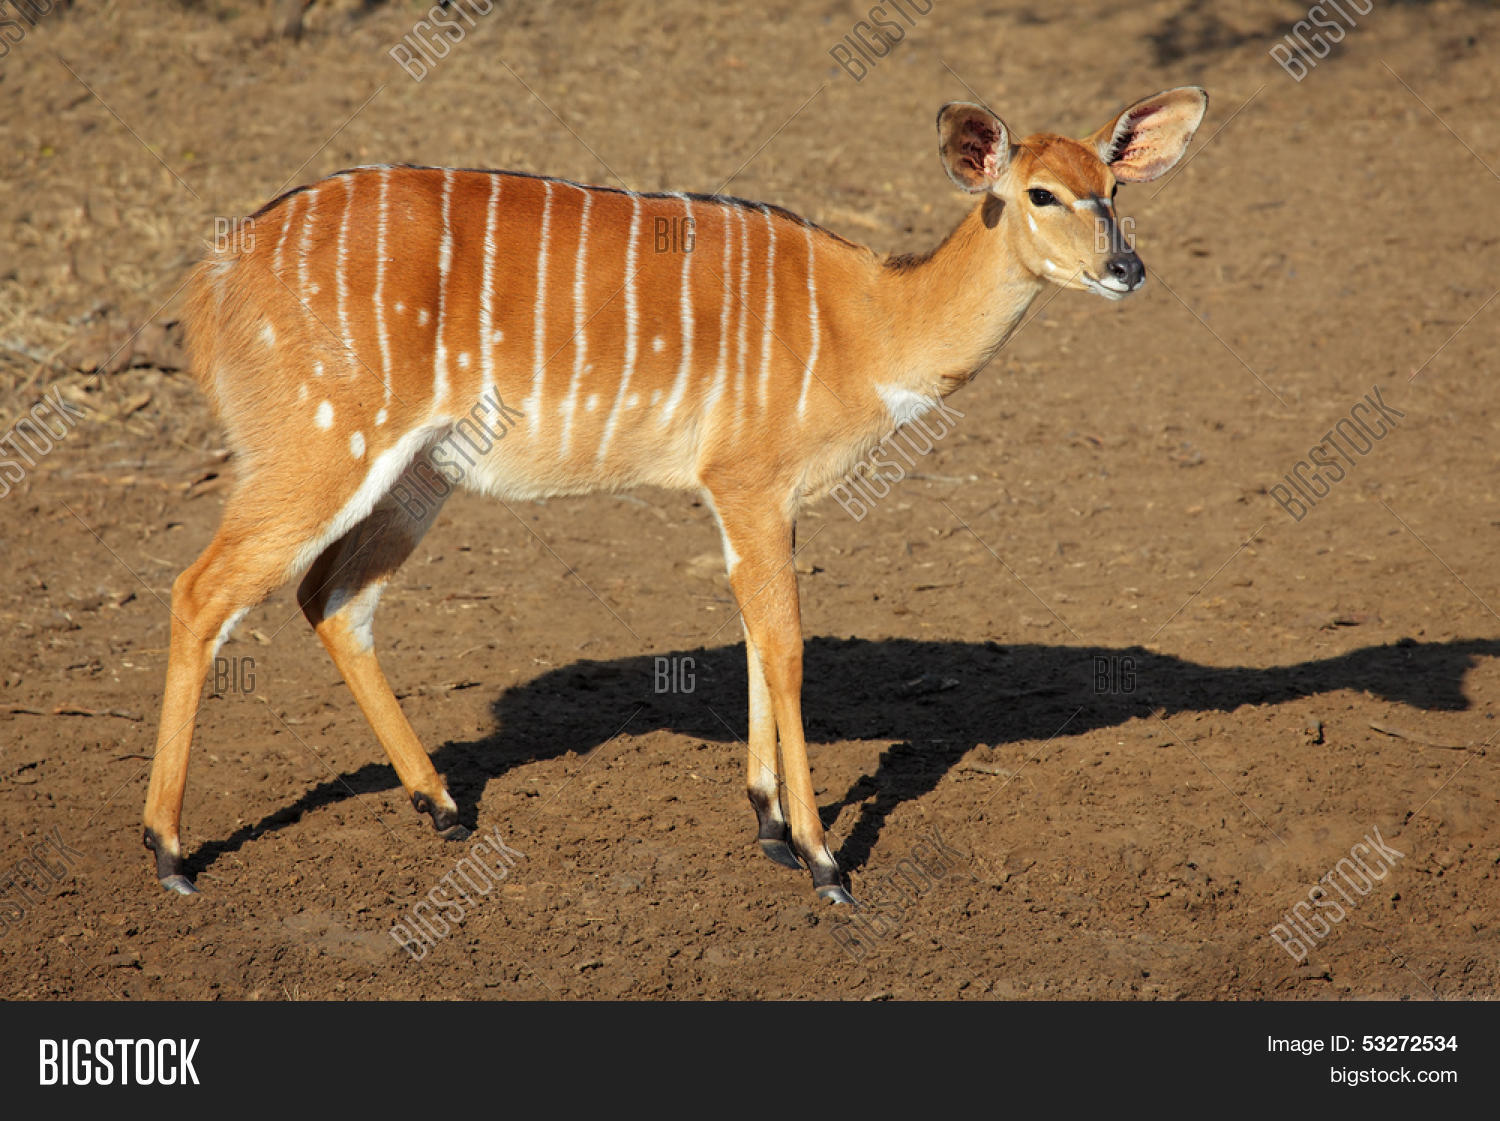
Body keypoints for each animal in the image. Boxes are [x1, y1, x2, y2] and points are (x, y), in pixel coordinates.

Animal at [145, 87, 1207, 903]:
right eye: (1040, 192)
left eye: (1115, 188)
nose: (1126, 268)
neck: (867, 324)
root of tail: (210, 281)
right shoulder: (747, 480)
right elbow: (786, 644)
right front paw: (823, 861)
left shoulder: (756, 502)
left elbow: (752, 632)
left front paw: (769, 825)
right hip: (319, 445)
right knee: (204, 590)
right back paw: (168, 851)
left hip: (417, 469)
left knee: (332, 596)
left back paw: (442, 806)